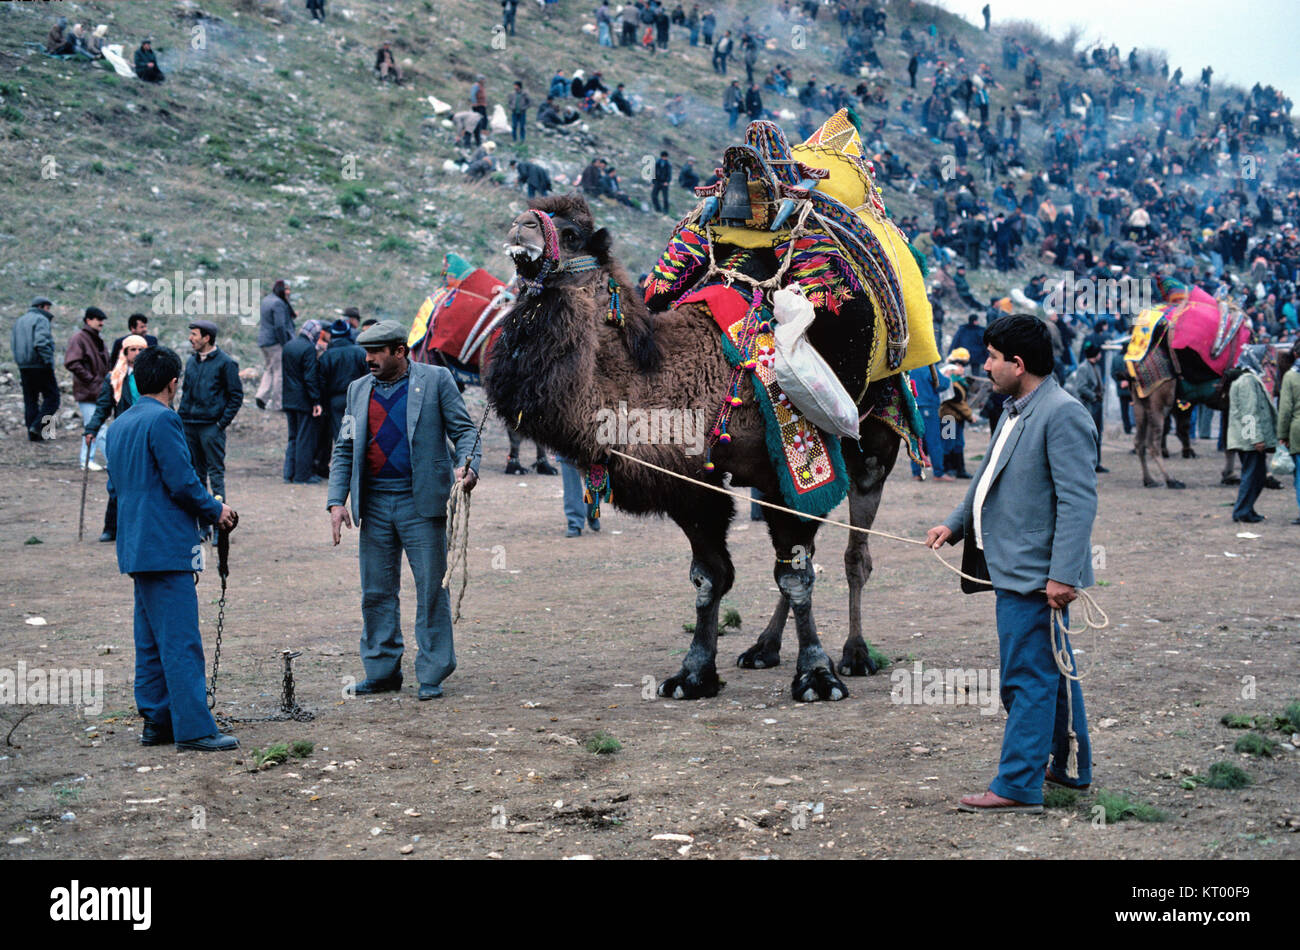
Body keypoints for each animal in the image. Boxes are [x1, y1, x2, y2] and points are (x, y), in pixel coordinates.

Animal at [484, 194, 904, 702]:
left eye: (570, 234)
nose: (521, 226)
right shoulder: (692, 487)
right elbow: (711, 577)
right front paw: (694, 674)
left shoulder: (796, 474)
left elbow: (795, 576)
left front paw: (817, 676)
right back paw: (763, 648)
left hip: (872, 451)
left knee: (854, 555)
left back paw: (856, 654)